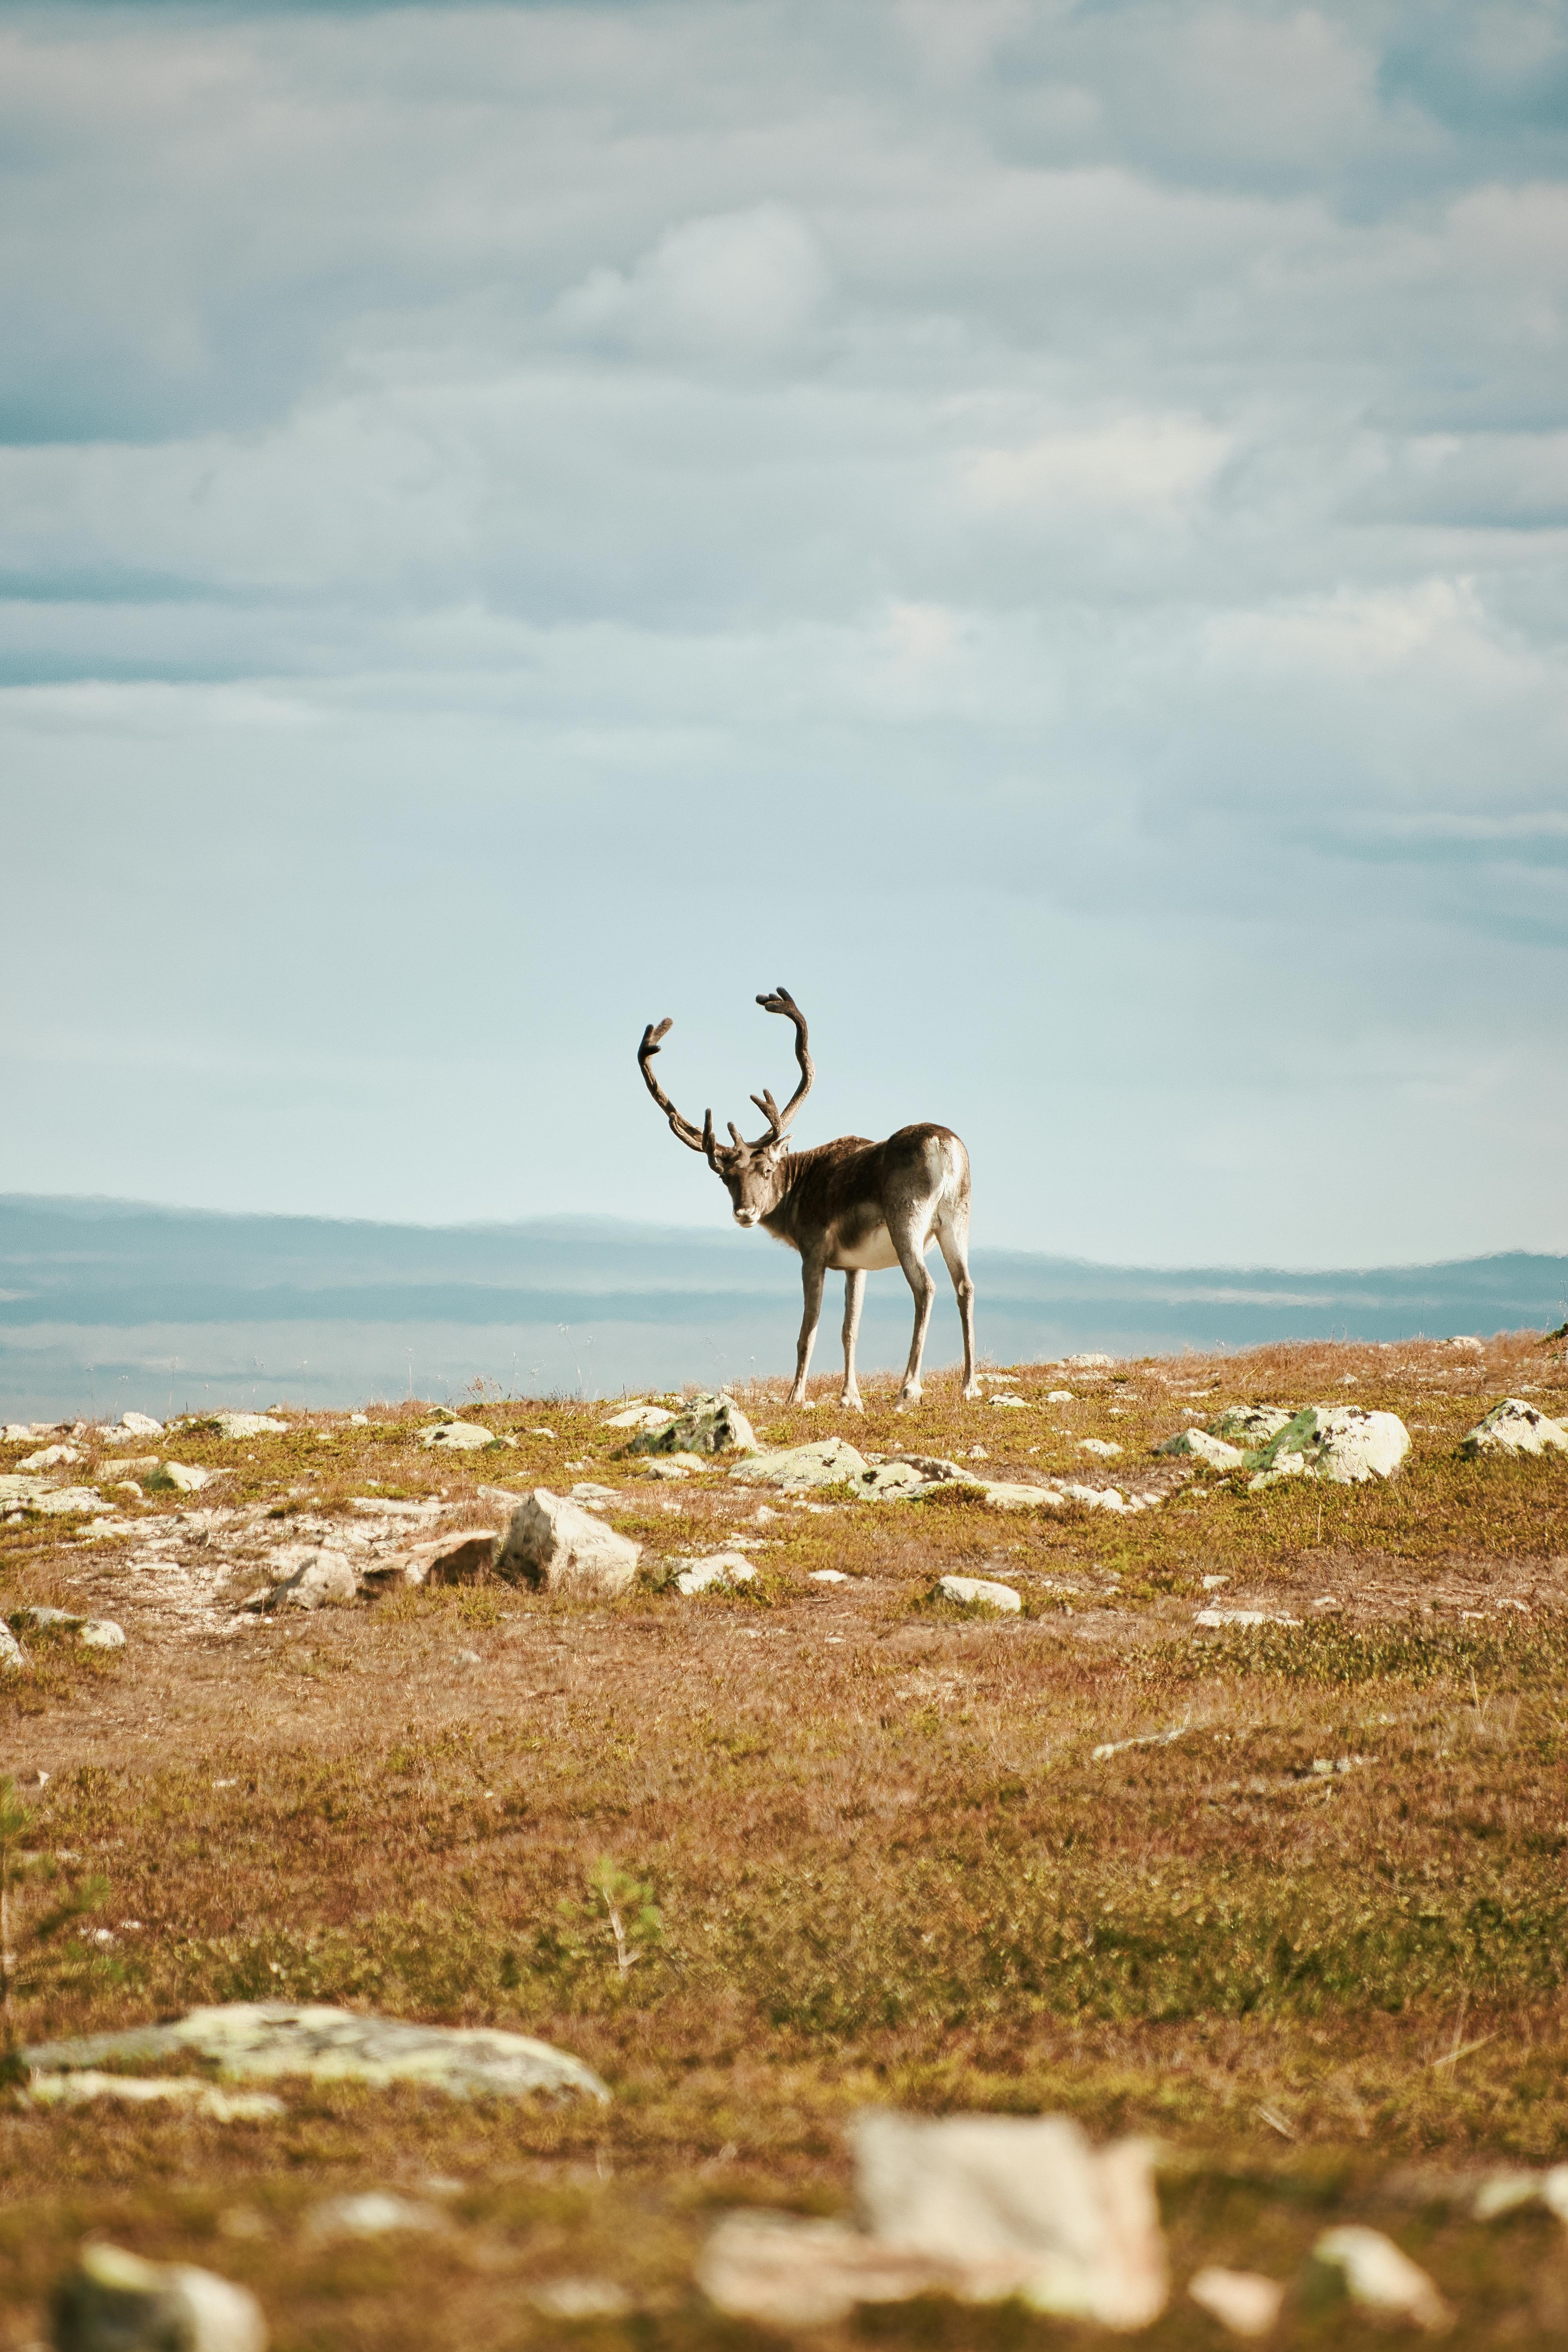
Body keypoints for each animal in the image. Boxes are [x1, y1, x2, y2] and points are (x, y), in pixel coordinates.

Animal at [637, 987, 978, 1412]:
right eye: (725, 1177)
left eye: (767, 1170)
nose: (744, 1212)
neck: (798, 1185)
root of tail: (943, 1144)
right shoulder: (855, 1265)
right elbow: (850, 1328)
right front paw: (849, 1397)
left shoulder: (813, 1253)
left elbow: (808, 1330)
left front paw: (795, 1396)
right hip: (956, 1218)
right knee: (965, 1286)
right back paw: (969, 1385)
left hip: (907, 1221)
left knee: (926, 1287)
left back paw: (908, 1388)